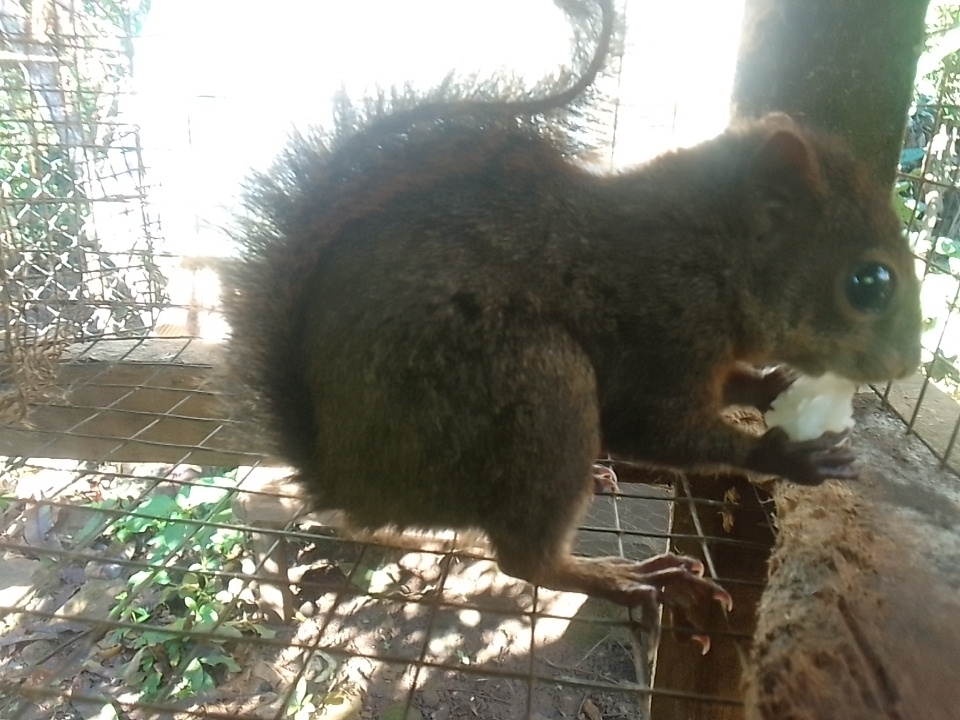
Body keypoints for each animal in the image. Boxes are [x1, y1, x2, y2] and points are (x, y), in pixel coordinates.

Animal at [225, 0, 922, 619]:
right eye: (868, 283)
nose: (909, 364)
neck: (708, 251)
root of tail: (349, 482)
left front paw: (768, 384)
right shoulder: (666, 325)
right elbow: (653, 428)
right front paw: (784, 457)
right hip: (538, 388)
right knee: (526, 560)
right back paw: (629, 576)